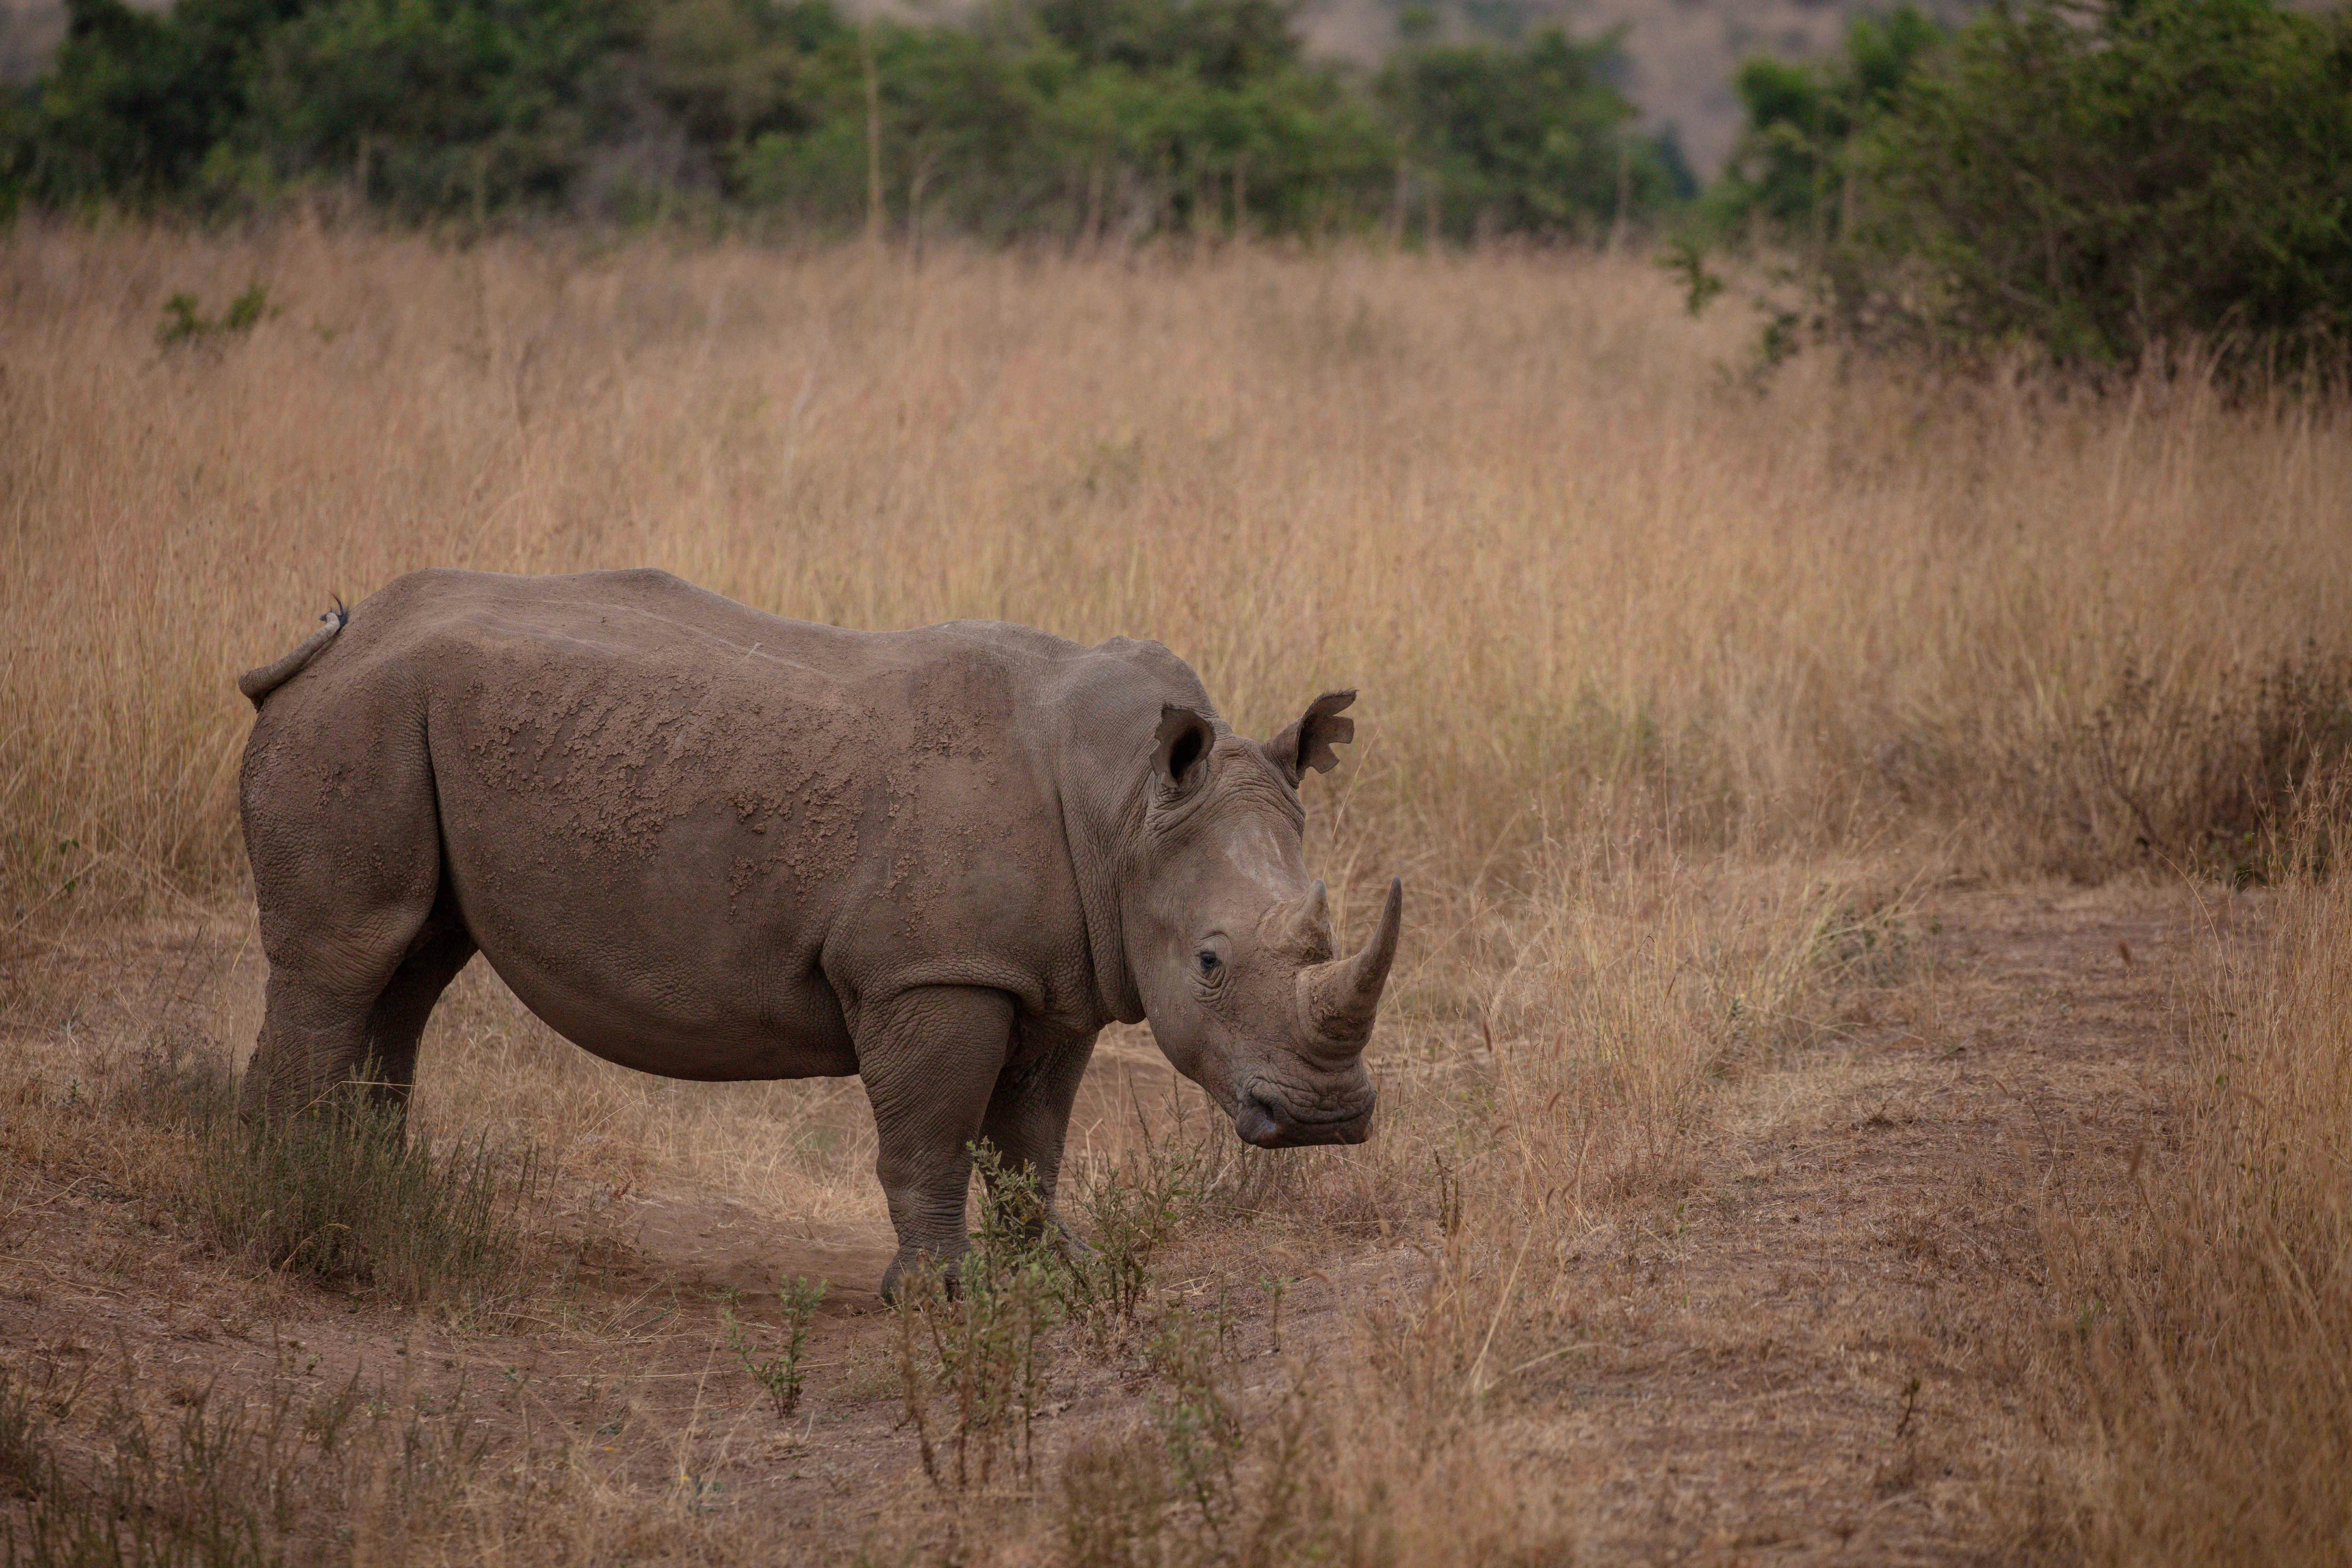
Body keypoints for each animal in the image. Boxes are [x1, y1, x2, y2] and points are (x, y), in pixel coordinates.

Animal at [236, 568, 1401, 1297]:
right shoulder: (931, 972)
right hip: (366, 715)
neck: (1124, 805)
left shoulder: (1055, 975)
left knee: (411, 963)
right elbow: (931, 1136)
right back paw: (293, 1202)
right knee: (348, 956)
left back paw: (377, 1194)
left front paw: (1055, 1268)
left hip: (402, 717)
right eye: (1209, 961)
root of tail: (331, 640)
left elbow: (1031, 1141)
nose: (1327, 1119)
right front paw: (937, 1295)